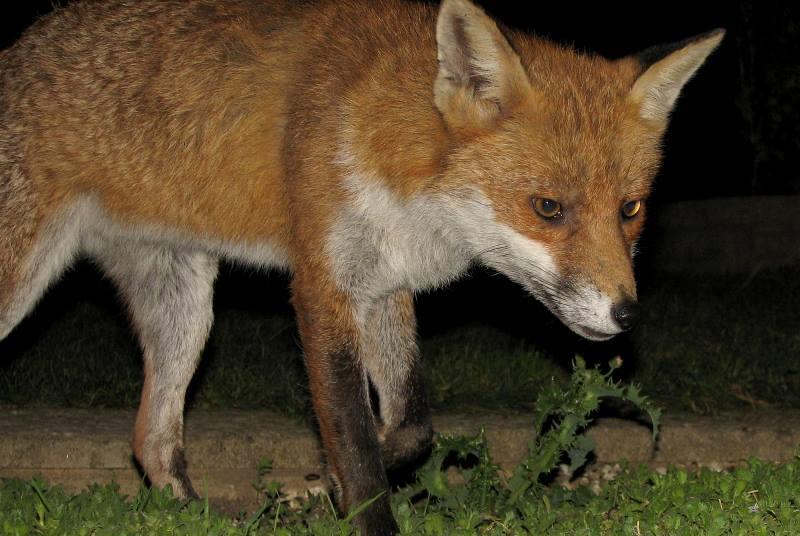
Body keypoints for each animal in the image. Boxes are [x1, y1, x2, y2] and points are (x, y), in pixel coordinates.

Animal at [0, 0, 723, 533]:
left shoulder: (383, 283)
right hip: (24, 283)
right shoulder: (324, 282)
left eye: (630, 209)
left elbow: (410, 426)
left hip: (183, 306)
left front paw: (328, 483)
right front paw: (358, 500)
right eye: (548, 207)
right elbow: (354, 437)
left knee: (151, 438)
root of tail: (23, 46)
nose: (626, 314)